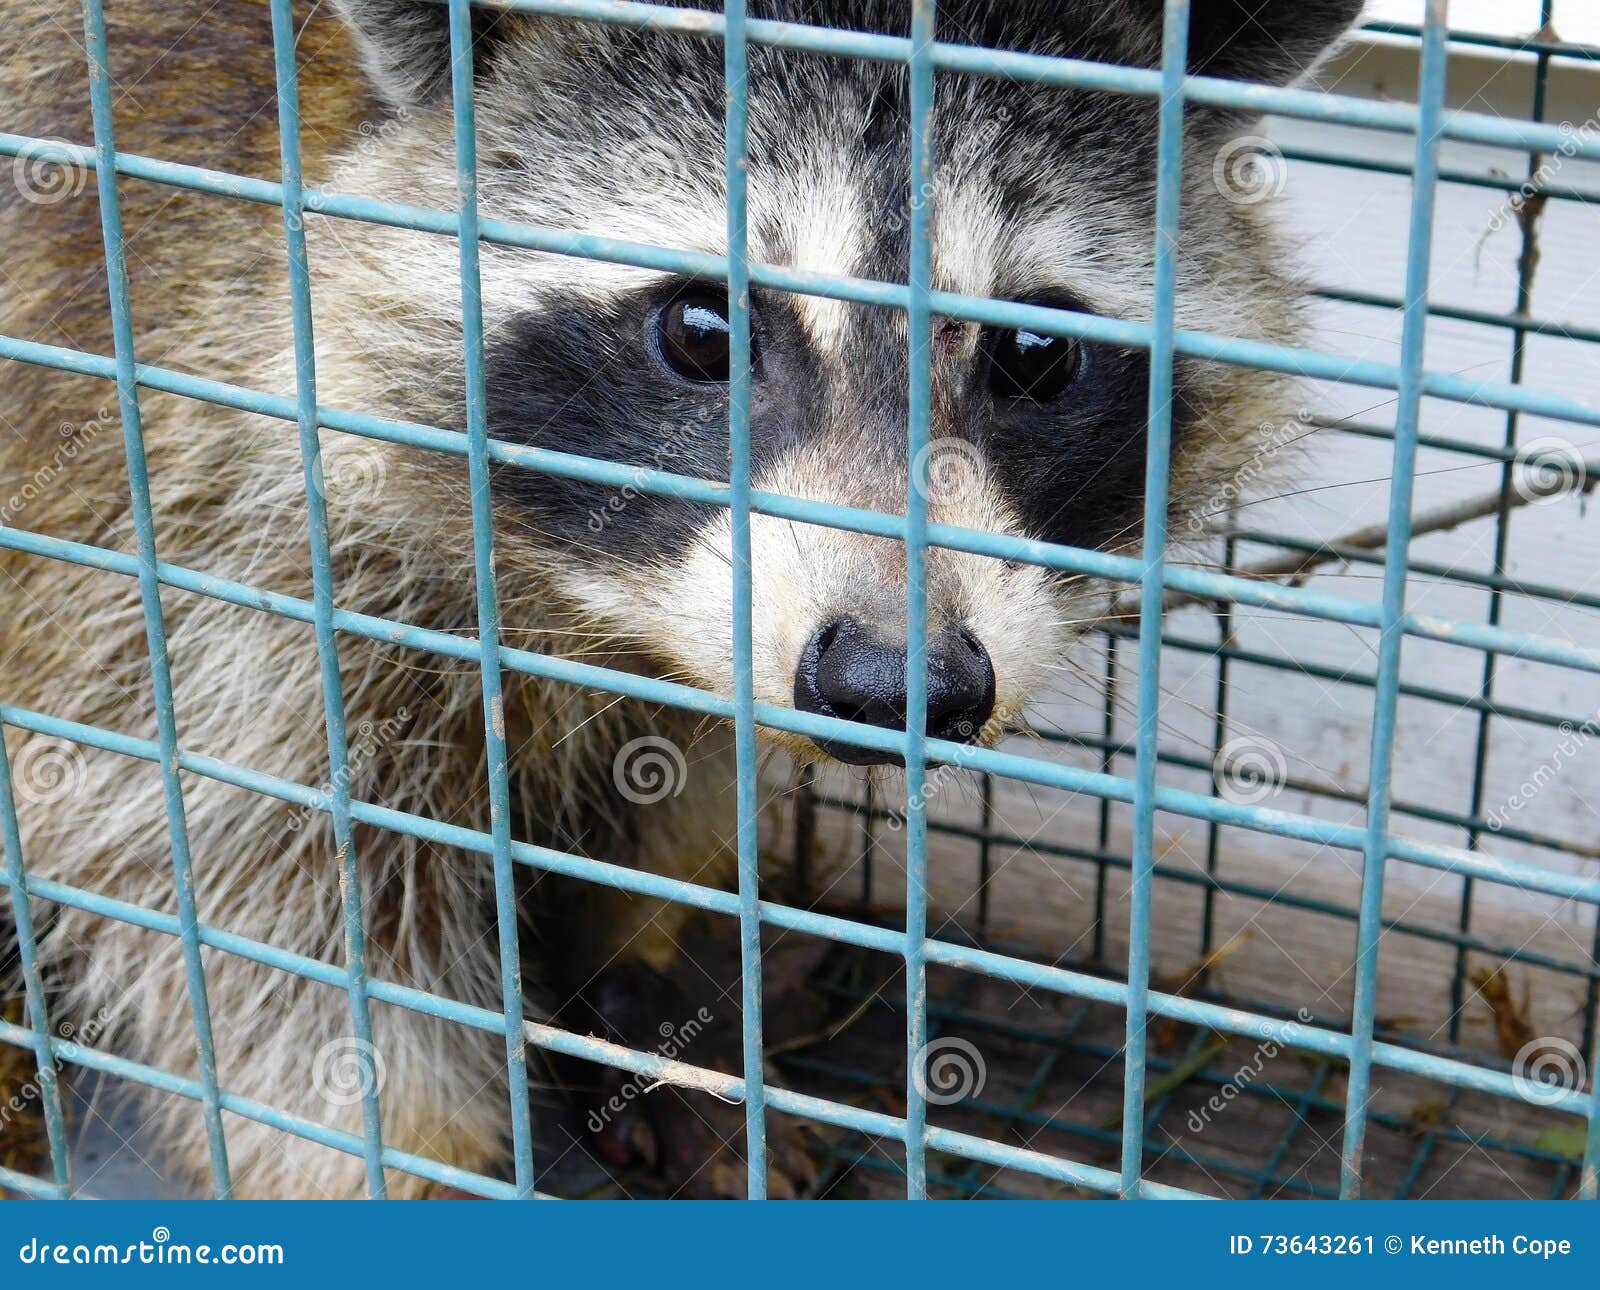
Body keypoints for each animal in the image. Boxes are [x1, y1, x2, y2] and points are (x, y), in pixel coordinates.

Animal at [0, 0, 1361, 1198]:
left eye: (1034, 354)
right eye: (701, 331)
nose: (894, 687)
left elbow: (669, 772)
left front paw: (639, 980)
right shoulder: (190, 496)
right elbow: (244, 882)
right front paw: (414, 1156)